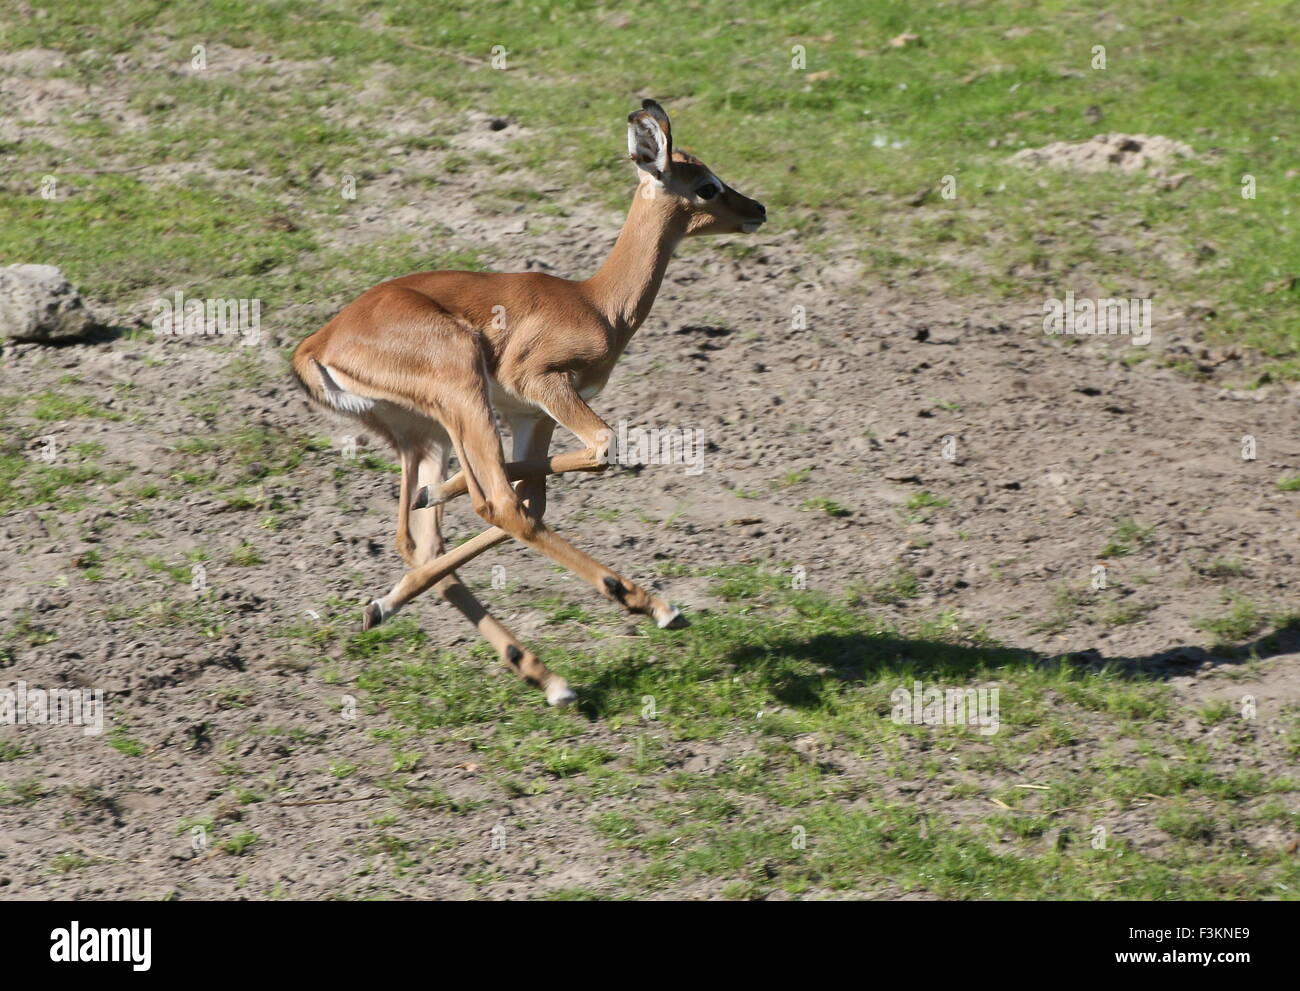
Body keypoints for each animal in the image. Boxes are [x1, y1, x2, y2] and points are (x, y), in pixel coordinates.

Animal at [291, 99, 767, 706]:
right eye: (706, 186)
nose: (757, 209)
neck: (597, 303)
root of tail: (319, 342)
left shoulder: (529, 415)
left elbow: (536, 495)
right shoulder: (544, 386)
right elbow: (599, 450)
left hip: (425, 432)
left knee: (422, 537)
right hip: (459, 386)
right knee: (495, 502)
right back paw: (649, 612)